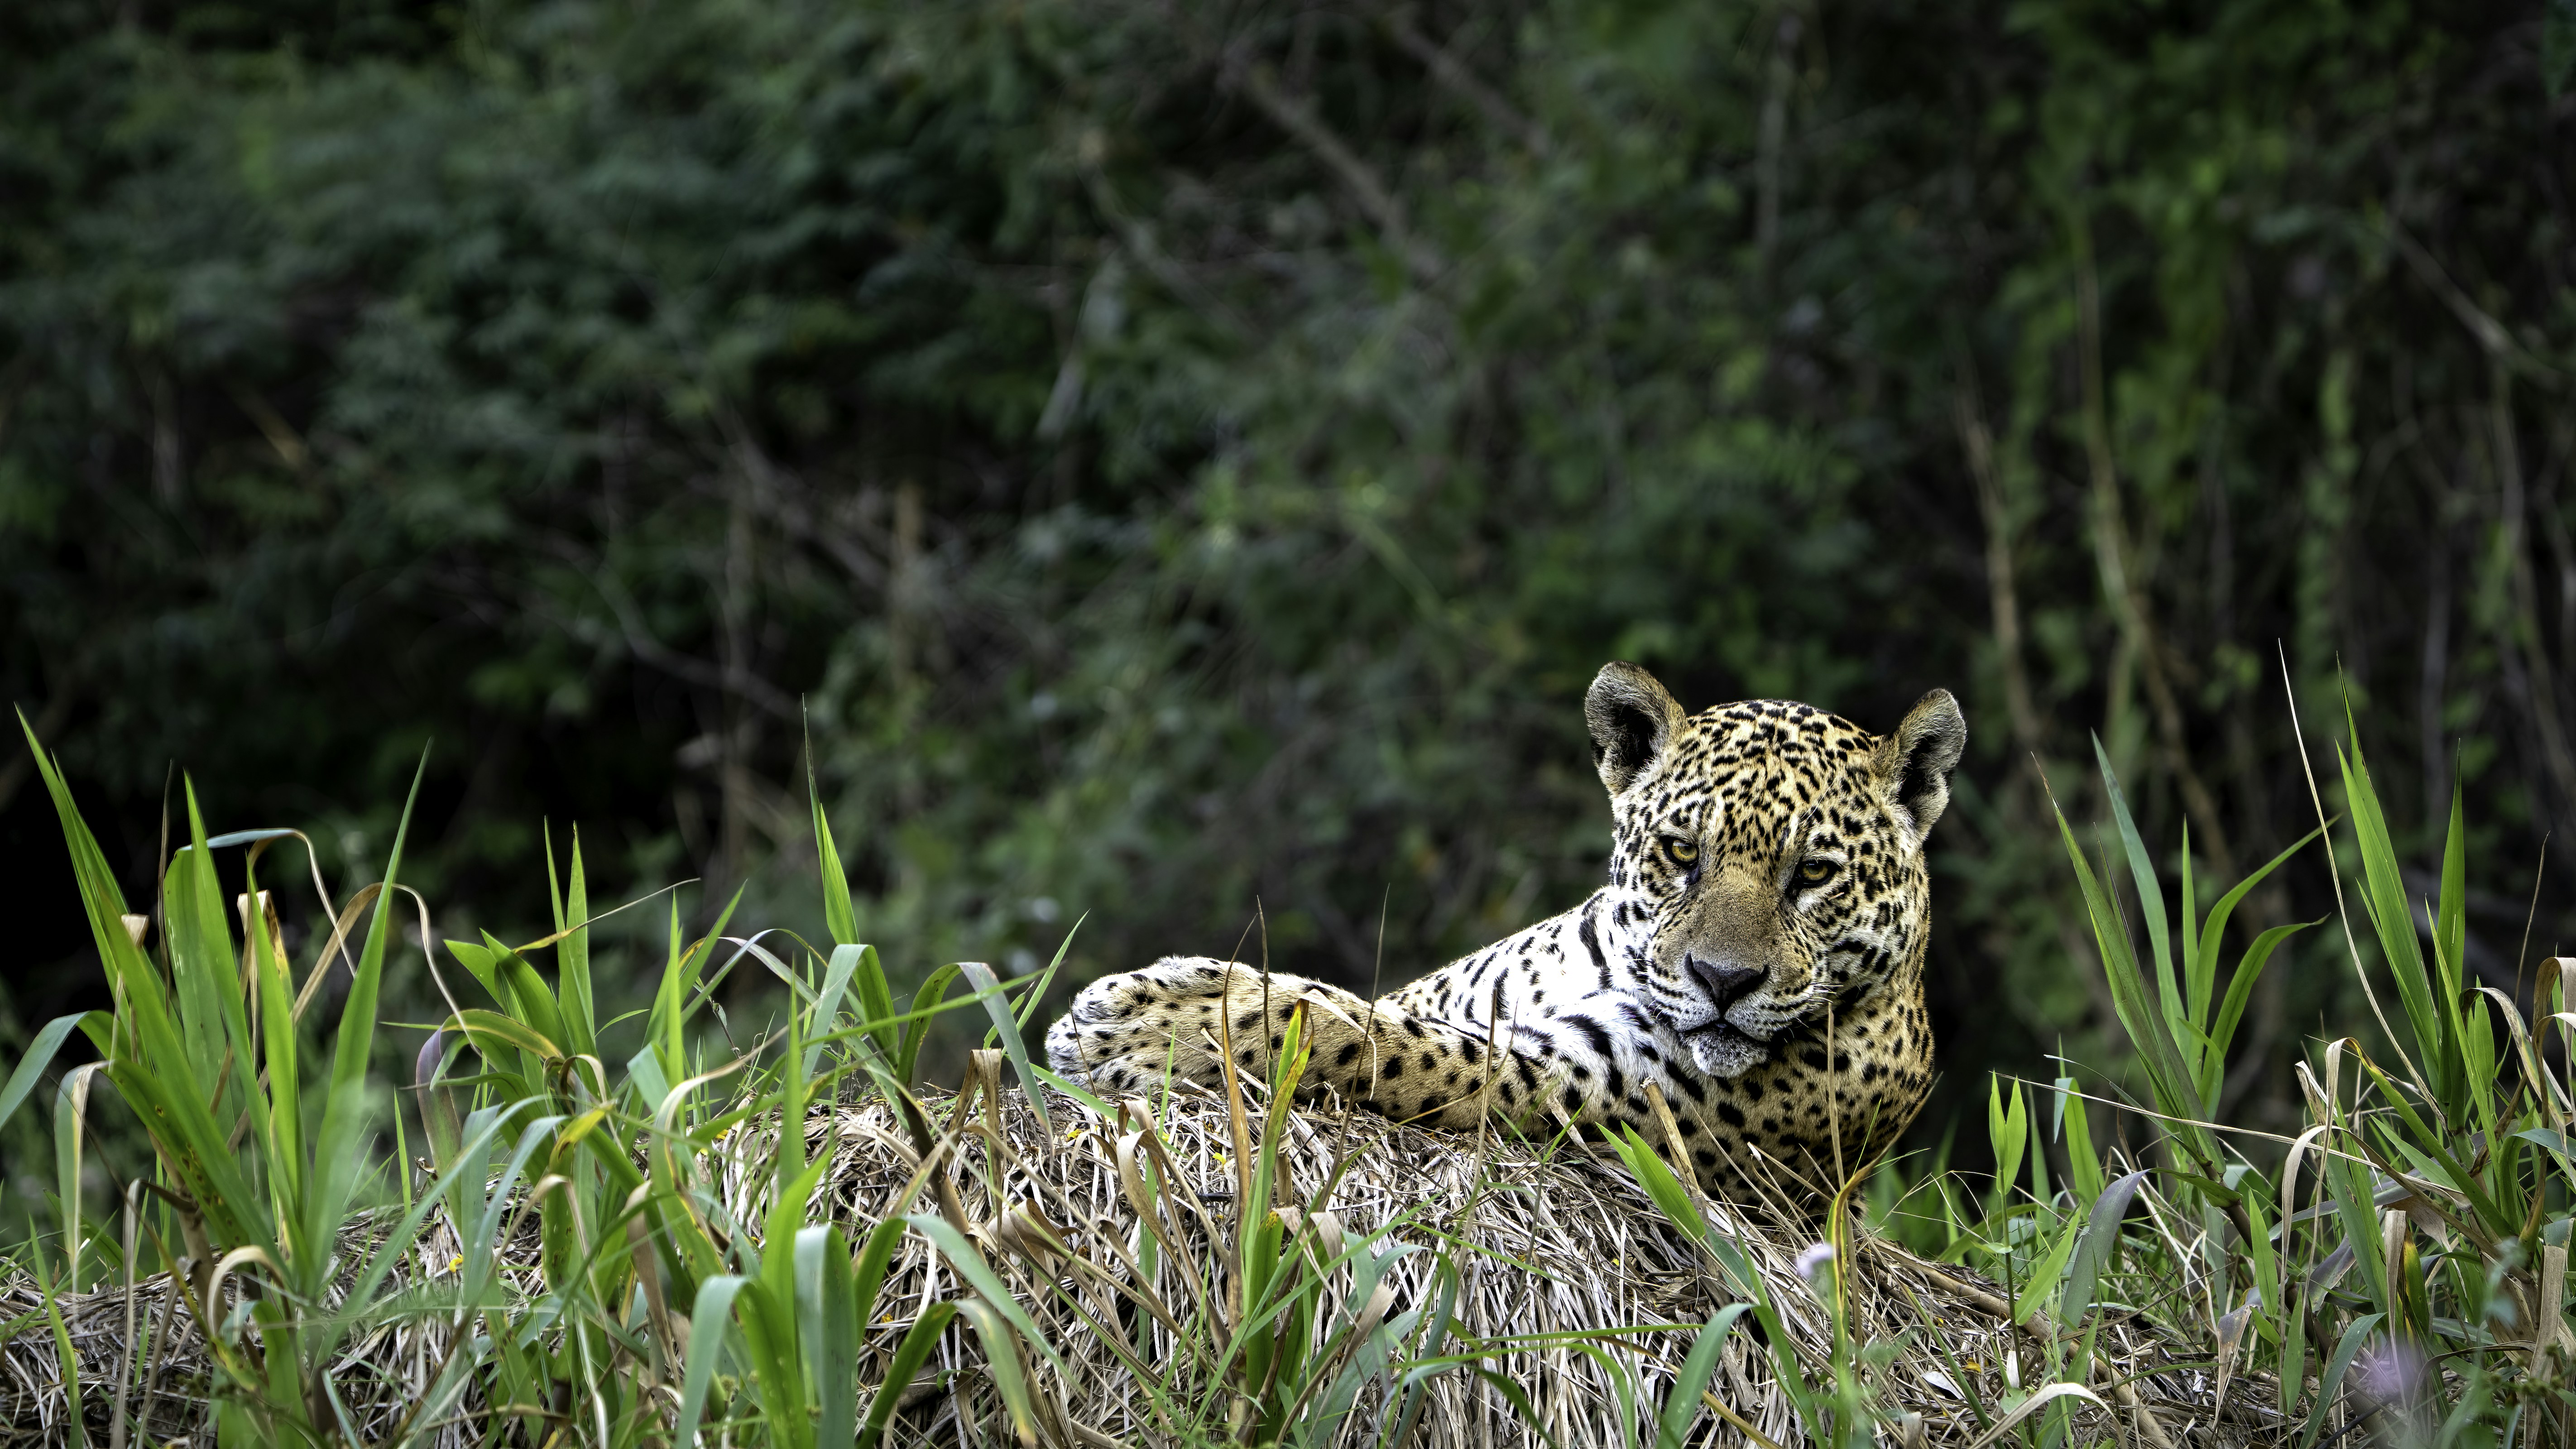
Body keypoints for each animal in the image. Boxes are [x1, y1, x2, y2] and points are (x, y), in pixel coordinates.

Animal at [1044, 661, 1964, 1207]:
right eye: (1681, 852)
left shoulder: (1586, 1087)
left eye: (1813, 874)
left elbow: (1380, 1041)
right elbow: (1358, 1005)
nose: (1722, 981)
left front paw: (1149, 1027)